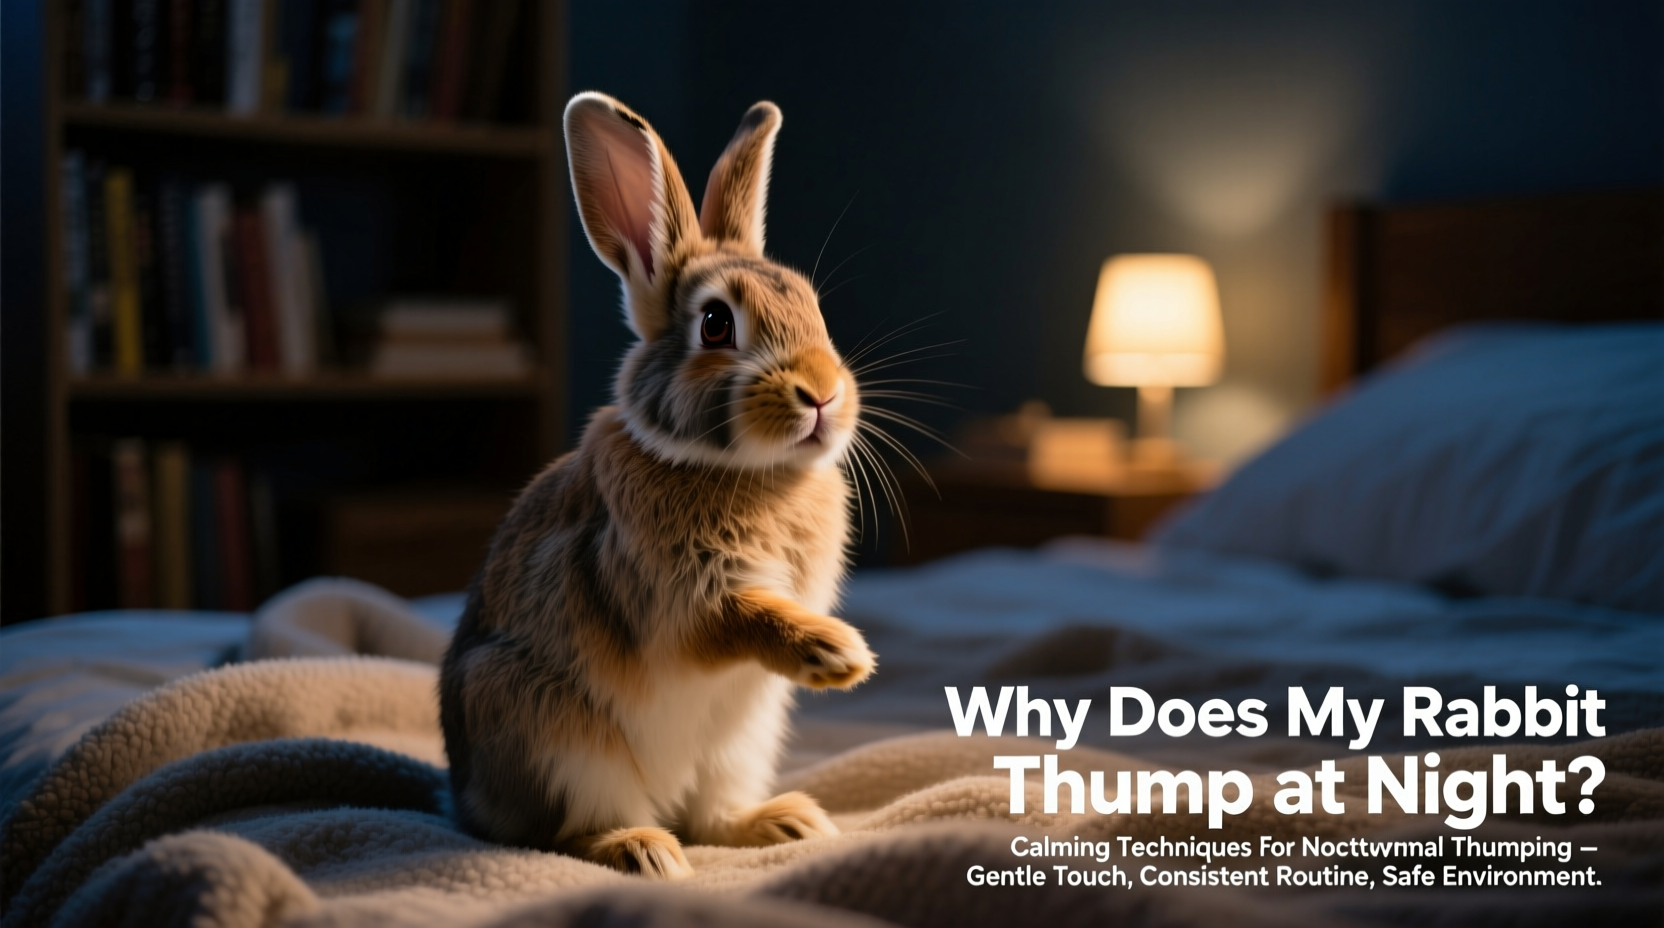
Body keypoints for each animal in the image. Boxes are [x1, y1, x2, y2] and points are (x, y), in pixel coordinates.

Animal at [438, 91, 876, 880]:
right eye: (716, 323)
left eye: (813, 307)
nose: (824, 394)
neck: (746, 472)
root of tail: (463, 801)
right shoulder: (677, 595)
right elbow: (743, 618)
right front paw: (838, 655)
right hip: (557, 736)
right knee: (564, 832)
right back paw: (643, 849)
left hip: (740, 746)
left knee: (709, 816)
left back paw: (787, 822)